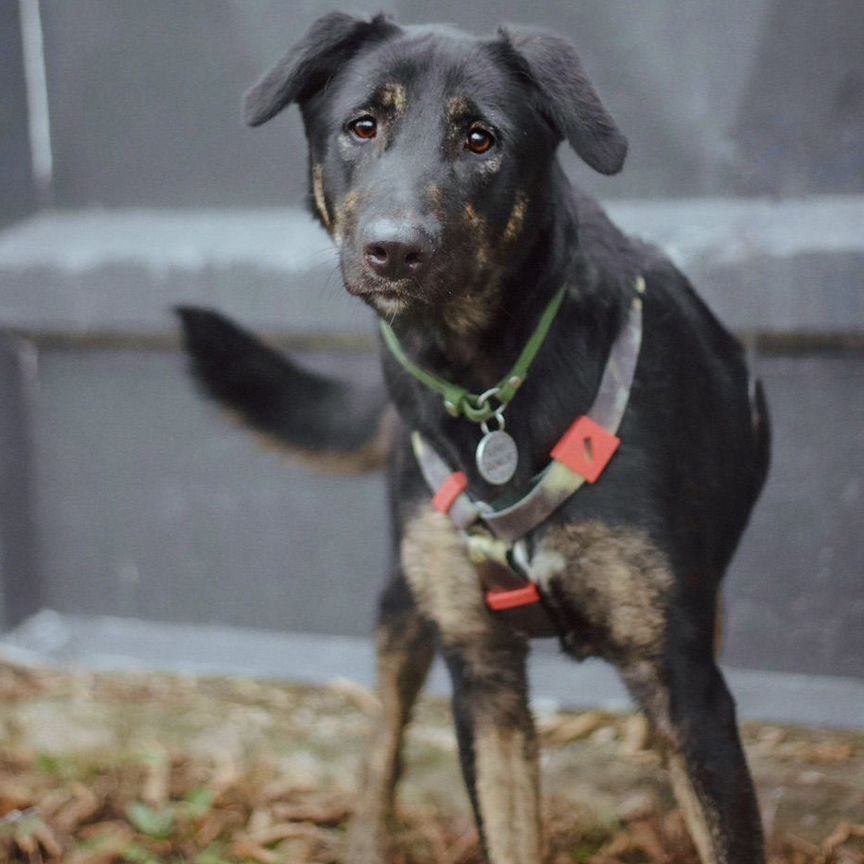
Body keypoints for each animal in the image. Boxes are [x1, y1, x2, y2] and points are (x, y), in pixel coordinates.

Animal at [179, 13, 772, 864]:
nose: (394, 250)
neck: (482, 384)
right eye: (363, 126)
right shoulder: (484, 679)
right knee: (382, 738)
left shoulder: (685, 685)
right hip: (406, 600)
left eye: (481, 139)